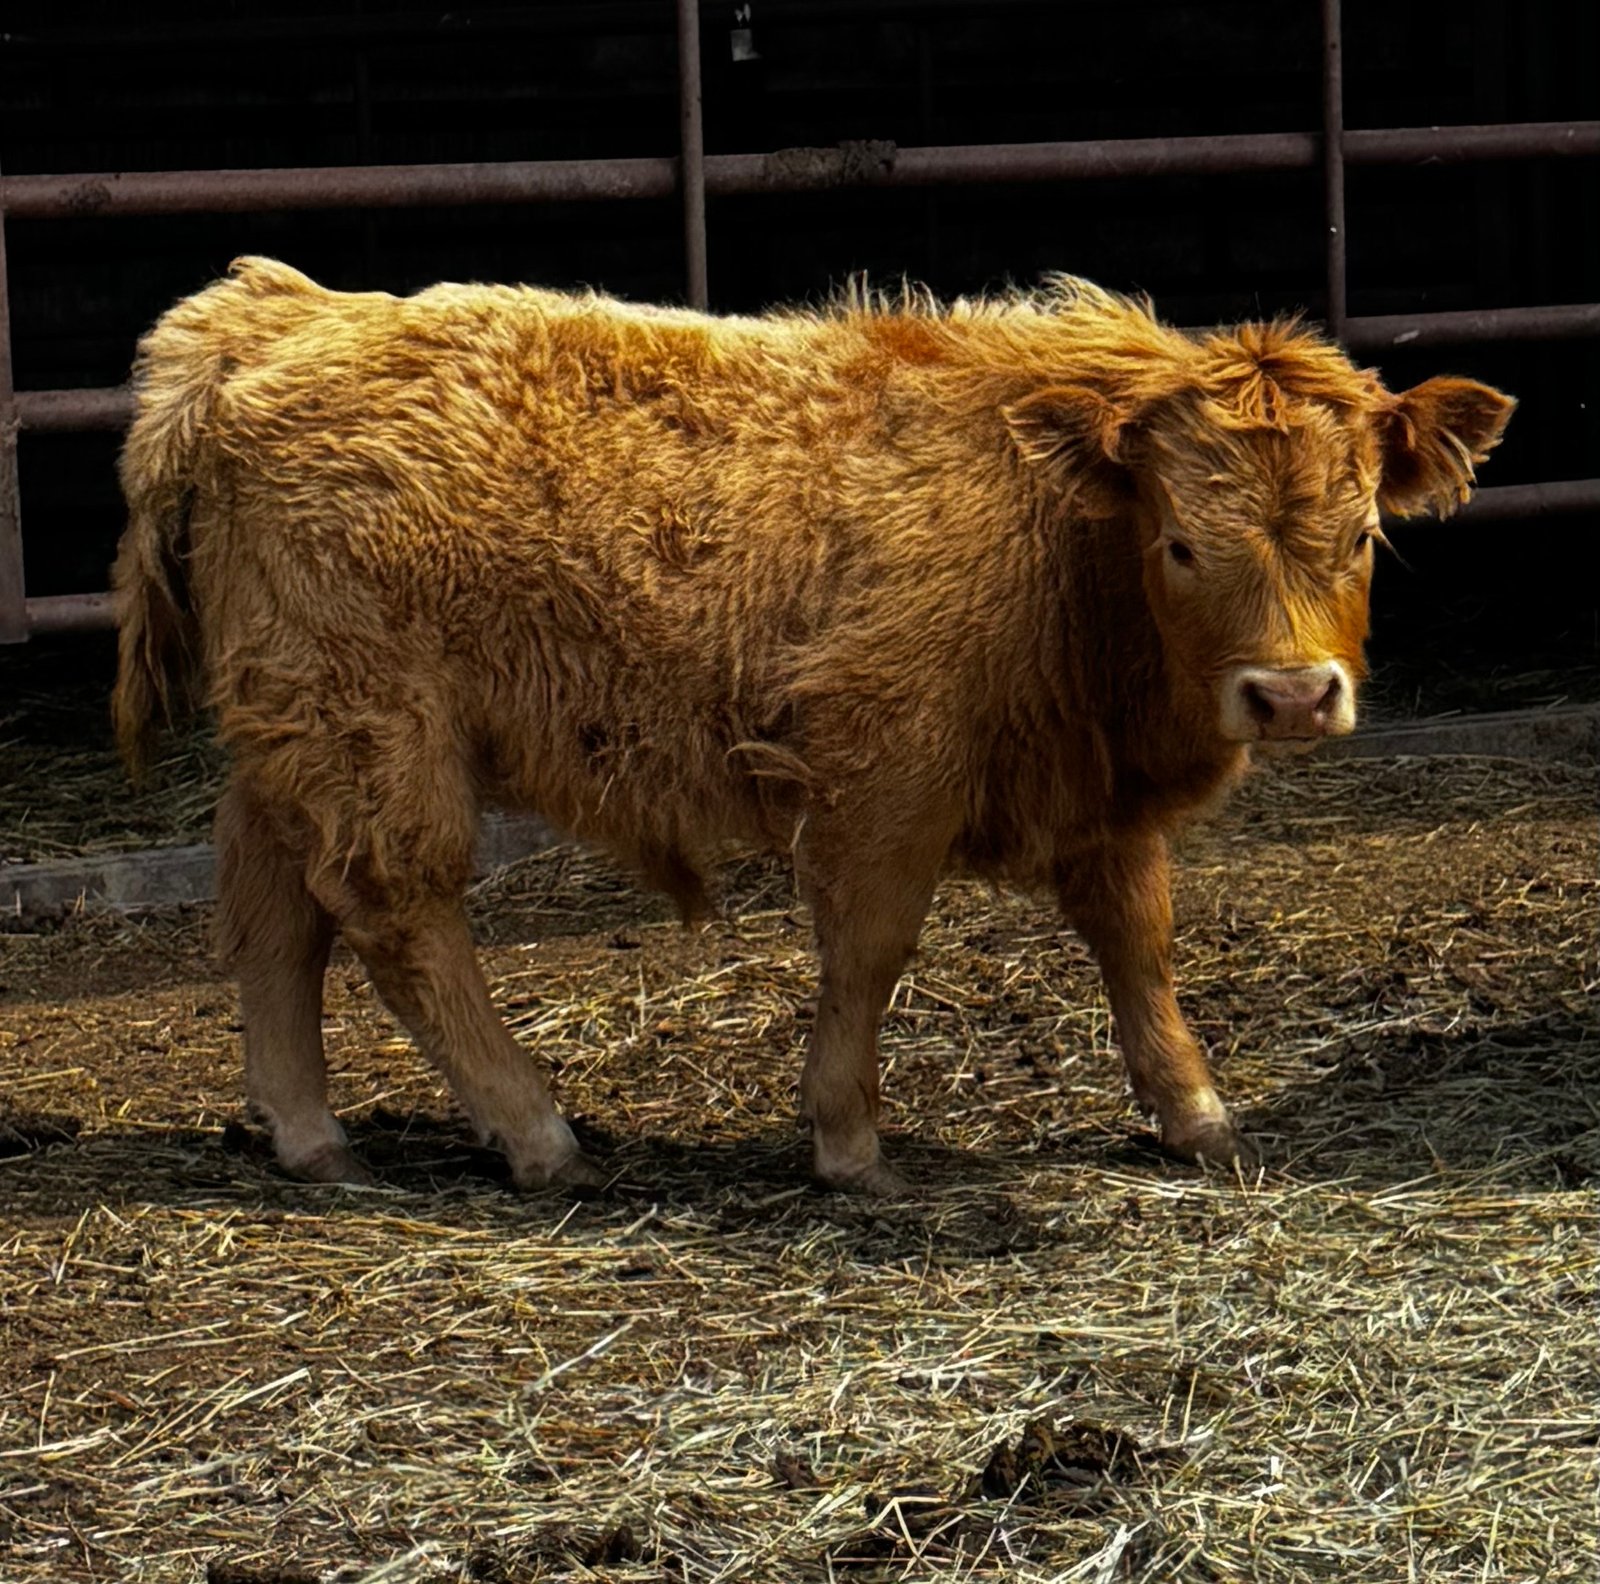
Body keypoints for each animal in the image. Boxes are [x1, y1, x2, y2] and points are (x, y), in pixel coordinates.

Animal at [112, 258, 1513, 1194]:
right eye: (1179, 541)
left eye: (1362, 533)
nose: (1290, 695)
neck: (1052, 526)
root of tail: (286, 311)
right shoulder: (883, 774)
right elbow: (872, 950)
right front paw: (845, 1140)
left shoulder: (1096, 794)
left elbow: (1137, 941)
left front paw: (1195, 1110)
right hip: (376, 727)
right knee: (394, 912)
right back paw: (537, 1134)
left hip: (295, 727)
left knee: (272, 909)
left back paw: (312, 1135)